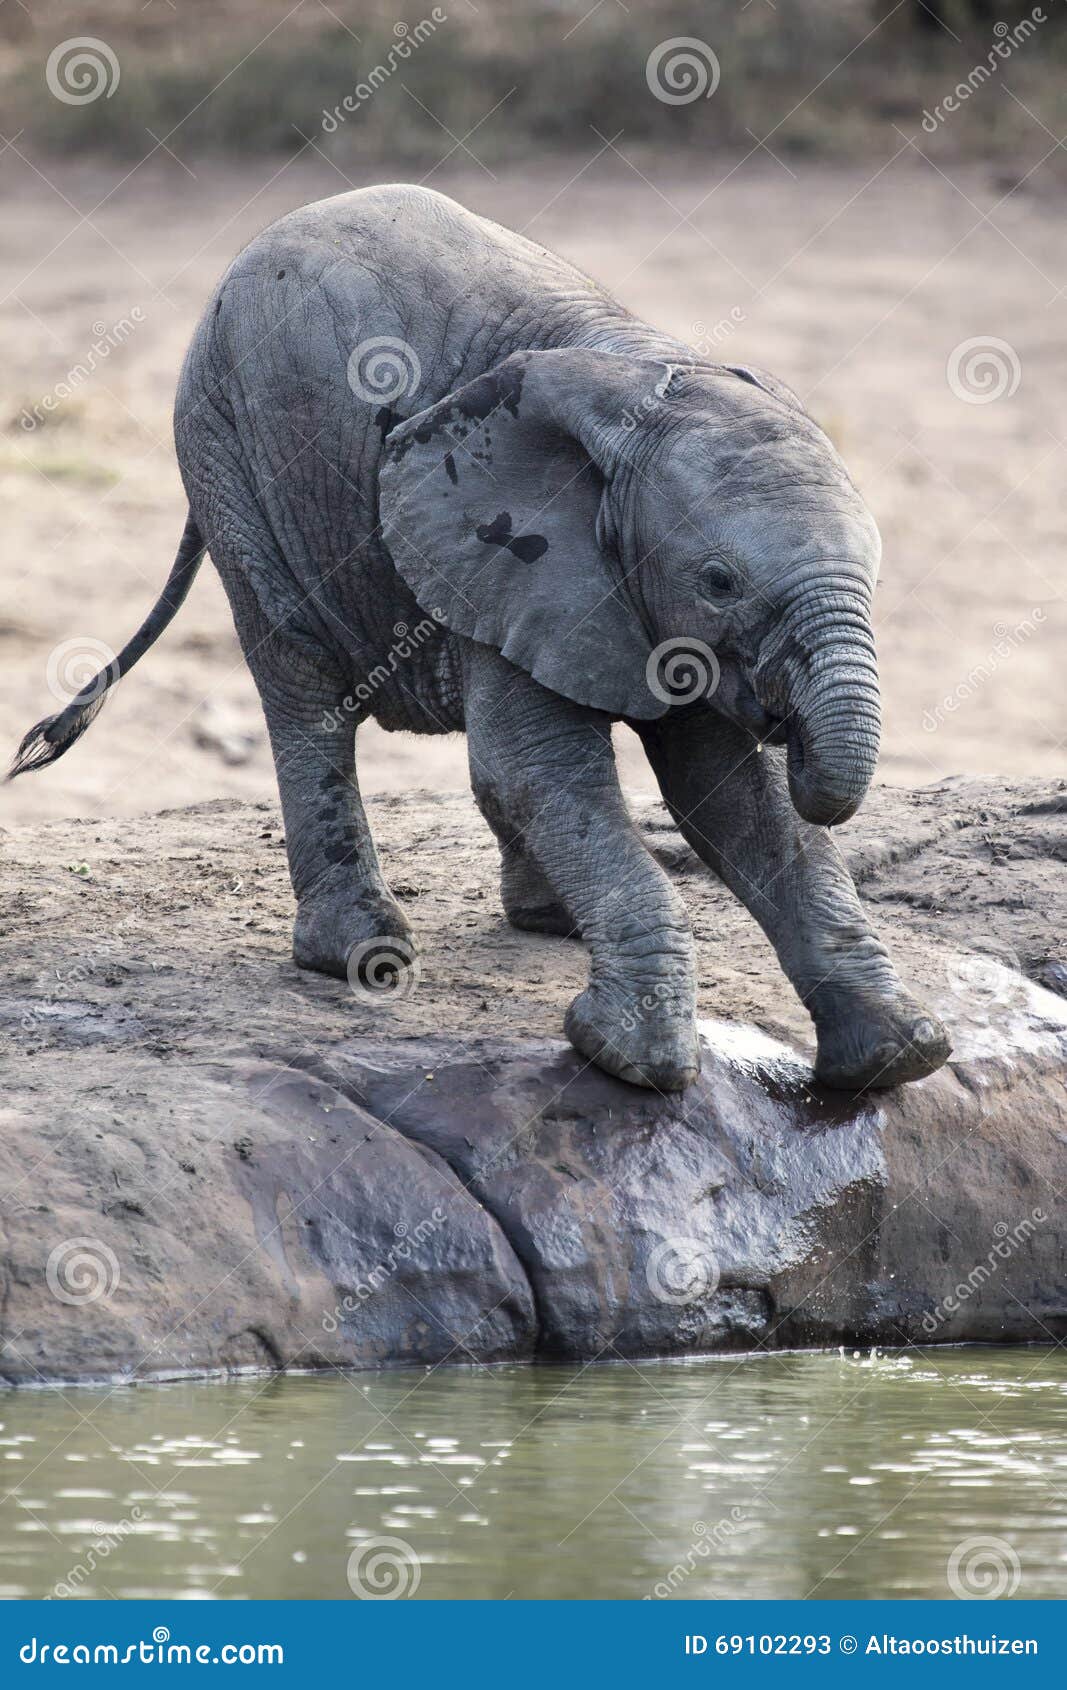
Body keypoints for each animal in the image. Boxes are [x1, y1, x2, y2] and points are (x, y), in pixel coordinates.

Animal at [11, 183, 950, 1095]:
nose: (786, 721)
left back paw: (547, 923)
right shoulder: (514, 554)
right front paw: (625, 1062)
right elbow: (534, 765)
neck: (638, 379)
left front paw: (896, 1059)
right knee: (303, 682)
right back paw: (361, 953)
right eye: (718, 581)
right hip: (228, 452)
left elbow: (728, 794)